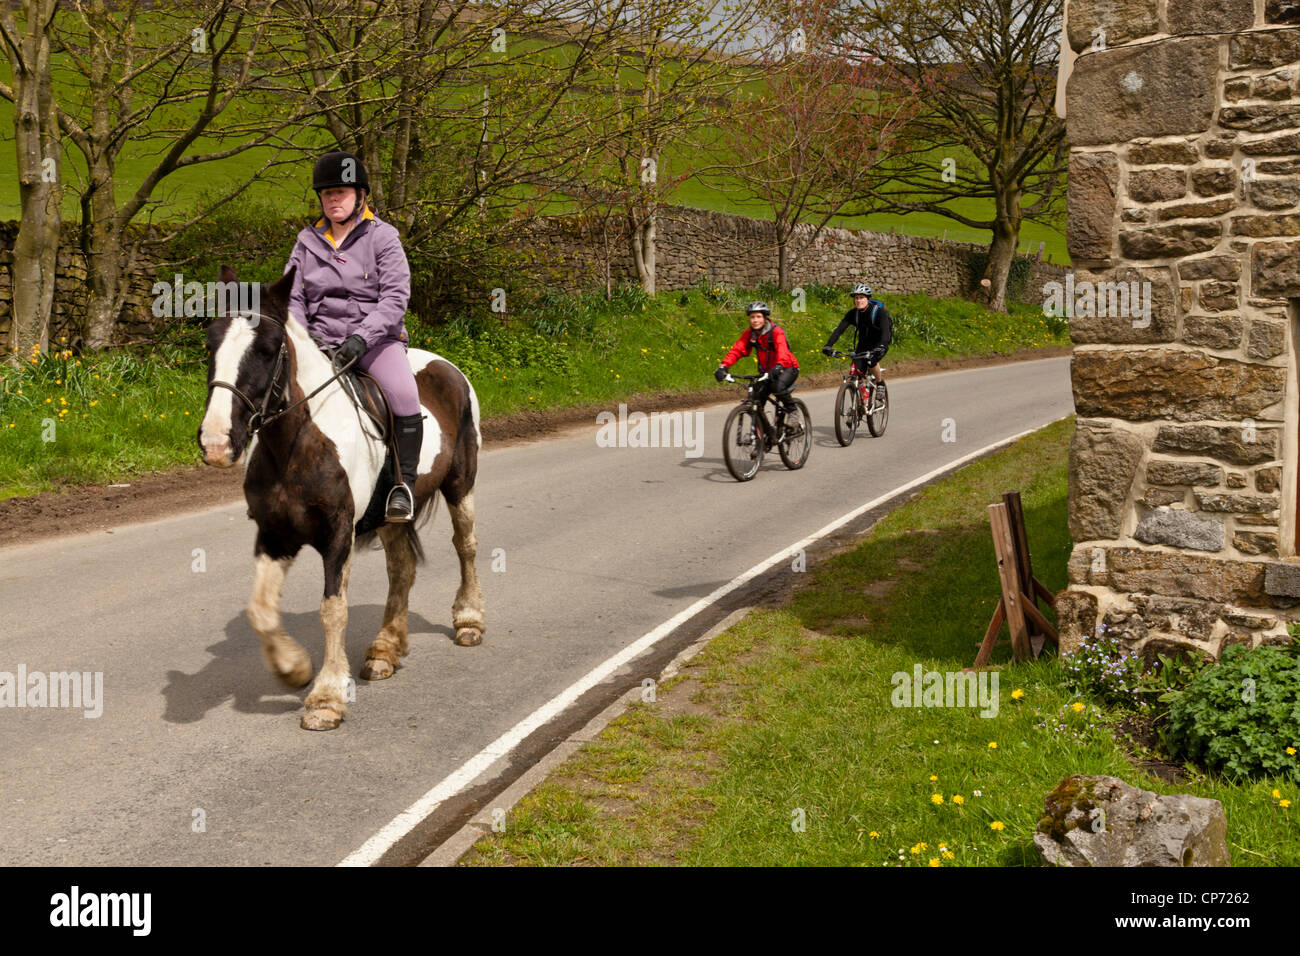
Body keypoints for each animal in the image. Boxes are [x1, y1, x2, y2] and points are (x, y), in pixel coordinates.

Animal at [197, 265, 484, 731]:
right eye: (211, 342)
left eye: (269, 349)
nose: (217, 442)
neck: (297, 442)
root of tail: (448, 368)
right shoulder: (275, 534)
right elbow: (260, 609)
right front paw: (293, 668)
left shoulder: (337, 534)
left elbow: (333, 609)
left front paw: (327, 697)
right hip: (389, 516)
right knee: (401, 569)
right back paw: (385, 650)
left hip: (461, 485)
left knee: (466, 547)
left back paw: (469, 621)